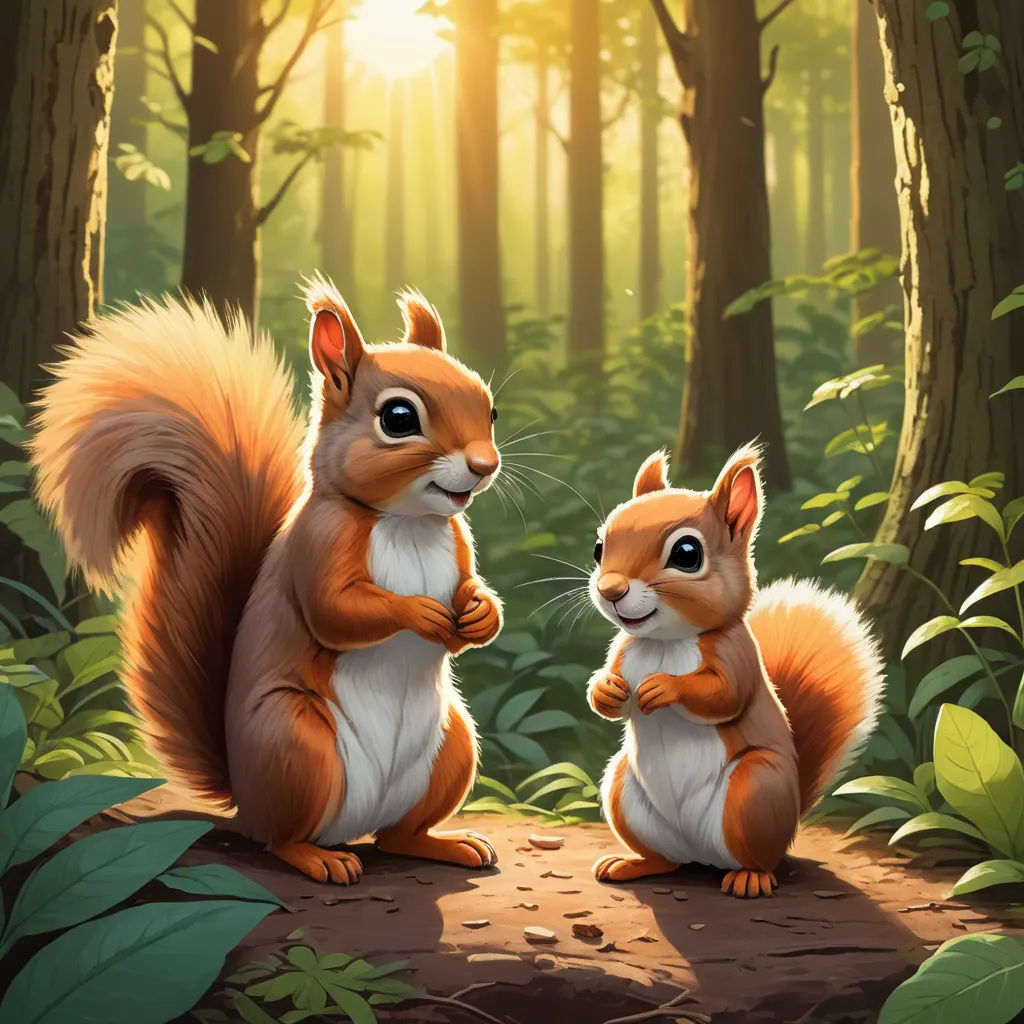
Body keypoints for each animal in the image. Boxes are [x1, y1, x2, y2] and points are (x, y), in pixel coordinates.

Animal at [30, 277, 505, 885]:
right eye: (399, 417)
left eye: (490, 409)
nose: (485, 465)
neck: (407, 522)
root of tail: (245, 798)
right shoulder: (318, 546)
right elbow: (335, 612)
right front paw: (418, 611)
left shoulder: (459, 544)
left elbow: (470, 593)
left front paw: (480, 612)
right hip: (296, 744)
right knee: (281, 837)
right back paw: (319, 860)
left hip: (453, 747)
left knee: (400, 837)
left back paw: (447, 843)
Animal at [584, 445, 884, 898]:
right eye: (599, 548)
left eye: (686, 554)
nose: (610, 590)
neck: (664, 642)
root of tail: (701, 854)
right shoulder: (622, 651)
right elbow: (607, 699)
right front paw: (607, 690)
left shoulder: (736, 655)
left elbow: (724, 696)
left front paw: (664, 688)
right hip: (624, 791)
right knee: (666, 861)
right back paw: (632, 863)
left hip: (755, 791)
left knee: (758, 858)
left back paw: (749, 878)